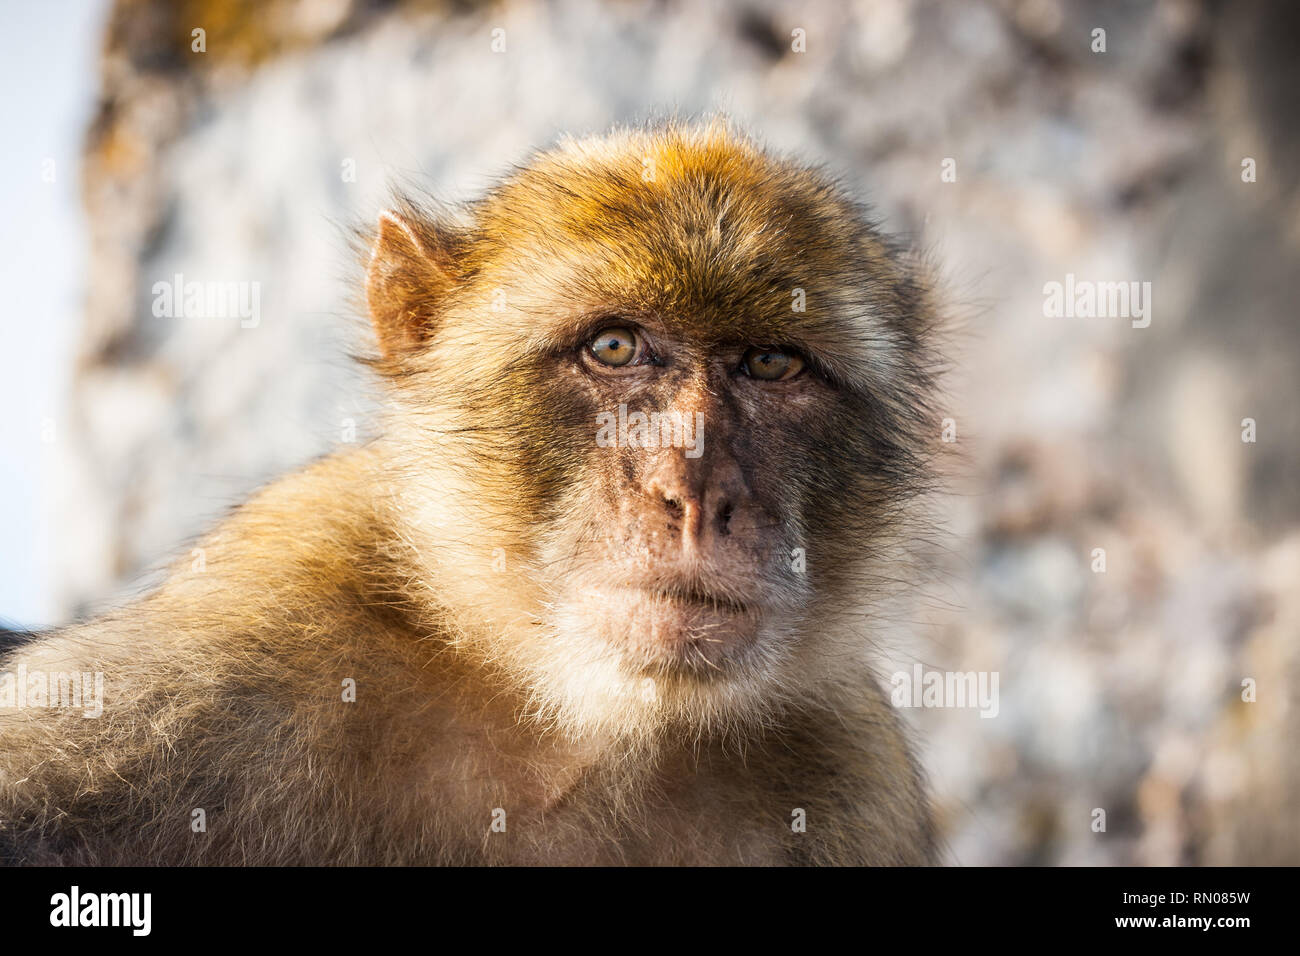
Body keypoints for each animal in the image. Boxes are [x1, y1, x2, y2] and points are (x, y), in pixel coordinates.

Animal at [0, 120, 943, 866]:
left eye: (773, 363)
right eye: (614, 347)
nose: (696, 492)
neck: (578, 726)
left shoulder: (849, 771)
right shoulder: (250, 627)